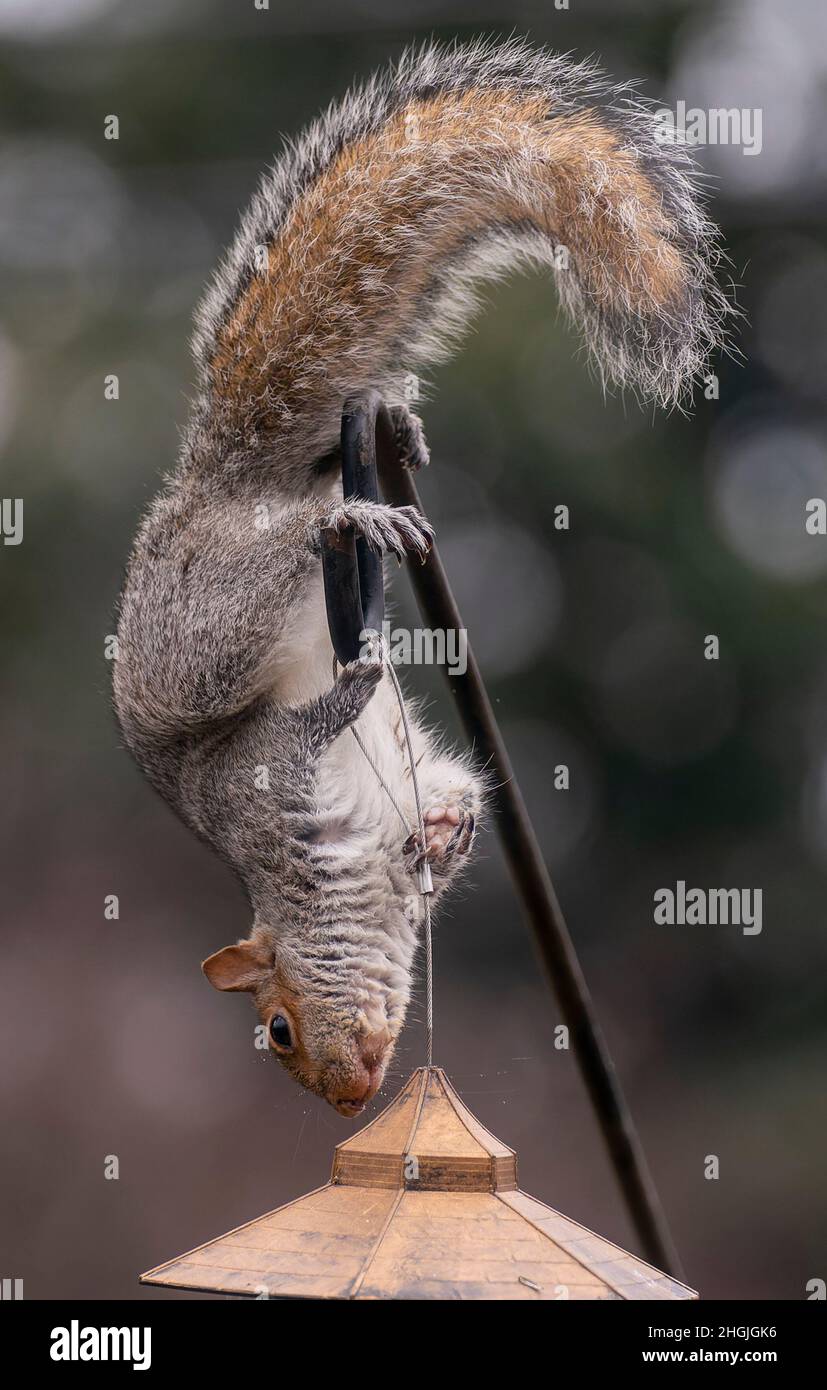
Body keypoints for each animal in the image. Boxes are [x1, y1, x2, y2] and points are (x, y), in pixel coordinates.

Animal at [113, 38, 730, 1118]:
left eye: (278, 1029)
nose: (348, 1099)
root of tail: (216, 487)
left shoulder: (264, 773)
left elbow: (322, 721)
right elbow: (447, 792)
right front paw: (439, 833)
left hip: (222, 613)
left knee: (309, 535)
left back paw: (357, 506)